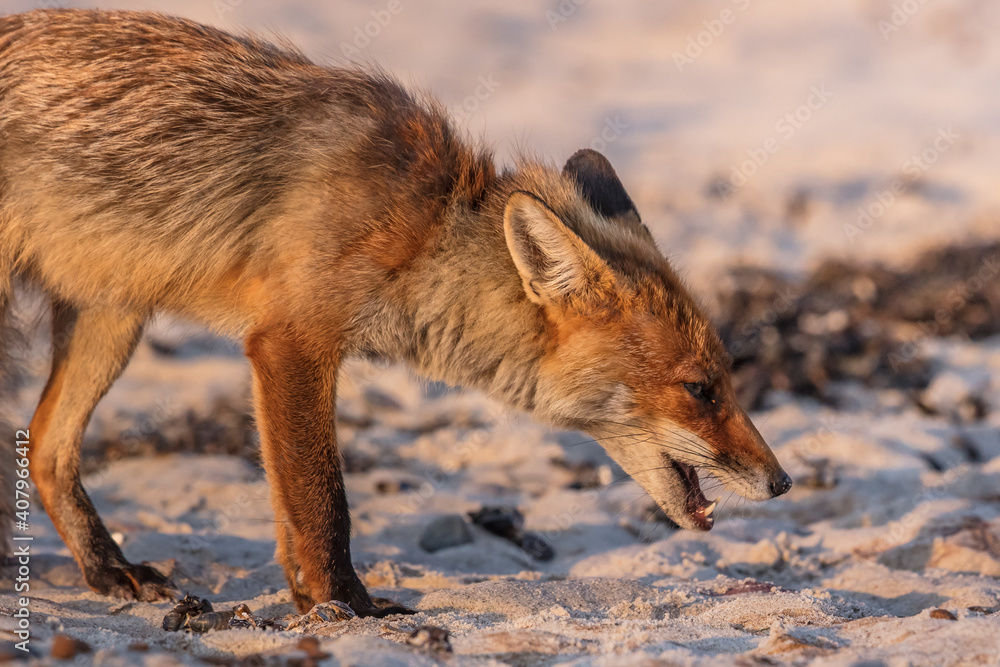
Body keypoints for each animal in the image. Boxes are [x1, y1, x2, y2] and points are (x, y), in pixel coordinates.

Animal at [0, 9, 791, 617]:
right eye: (700, 389)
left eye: (727, 379)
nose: (783, 482)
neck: (423, 231)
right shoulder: (290, 343)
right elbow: (324, 501)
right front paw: (345, 604)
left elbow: (300, 508)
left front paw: (315, 600)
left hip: (111, 319)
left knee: (47, 448)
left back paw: (107, 570)